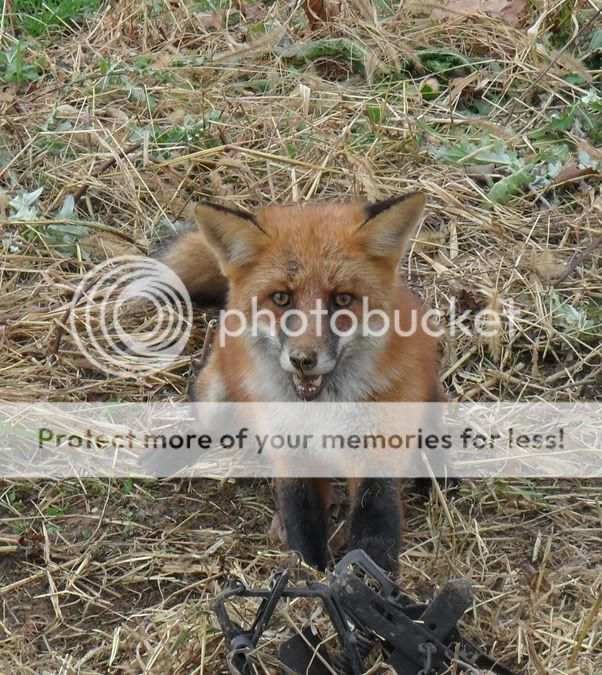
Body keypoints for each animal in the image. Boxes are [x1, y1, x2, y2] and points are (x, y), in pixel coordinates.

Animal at [161, 193, 442, 574]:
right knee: (204, 423)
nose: (303, 359)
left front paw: (368, 579)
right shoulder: (290, 455)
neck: (321, 414)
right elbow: (301, 521)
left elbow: (376, 527)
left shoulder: (378, 449)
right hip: (214, 396)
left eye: (342, 299)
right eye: (281, 298)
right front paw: (309, 572)